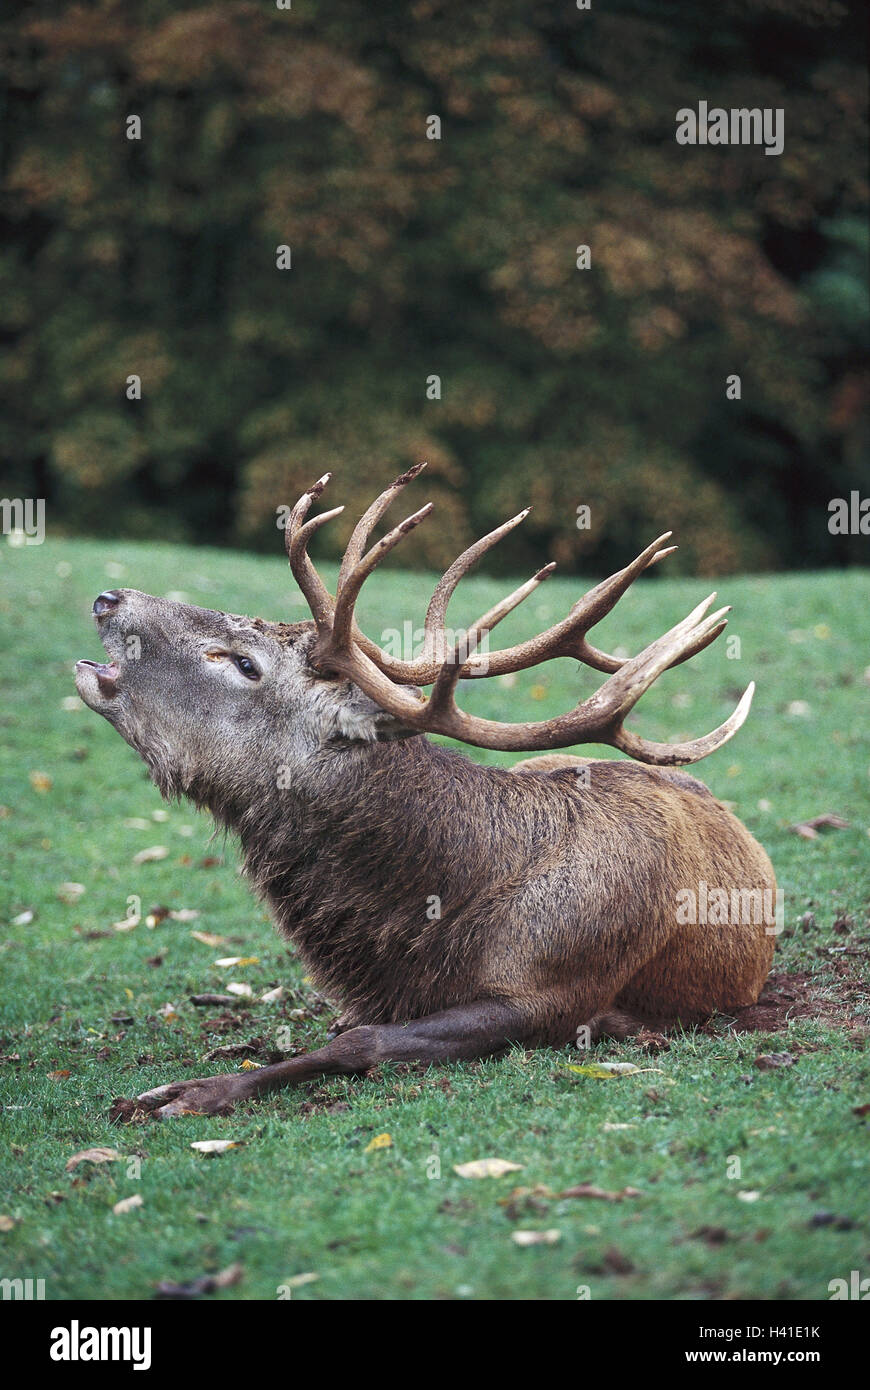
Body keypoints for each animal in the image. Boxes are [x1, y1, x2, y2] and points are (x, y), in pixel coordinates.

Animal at [75, 464, 776, 1117]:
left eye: (245, 663)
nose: (107, 598)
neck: (430, 931)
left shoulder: (555, 993)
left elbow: (357, 1042)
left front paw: (186, 1093)